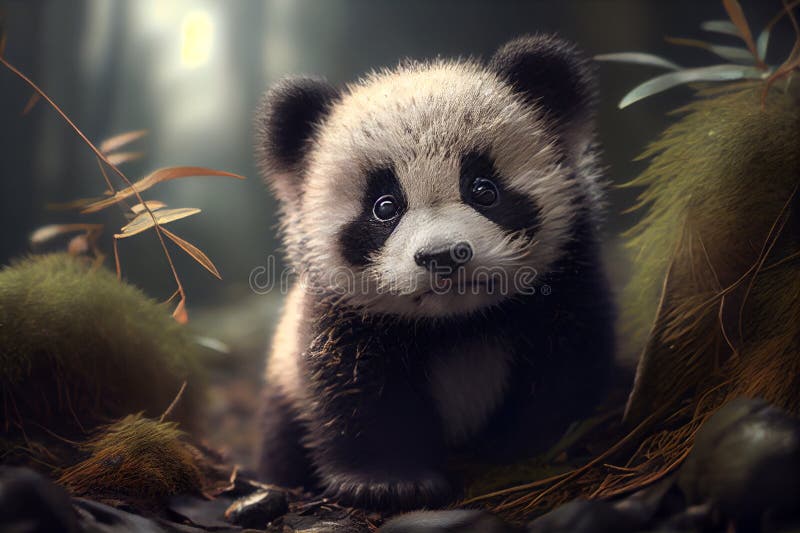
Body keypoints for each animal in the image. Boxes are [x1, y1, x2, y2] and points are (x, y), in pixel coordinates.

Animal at [255, 34, 615, 511]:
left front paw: (530, 447)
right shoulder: (341, 317)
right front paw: (387, 483)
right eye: (385, 206)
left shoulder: (565, 286)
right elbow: (357, 387)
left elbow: (567, 365)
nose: (443, 256)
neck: (457, 324)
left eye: (484, 189)